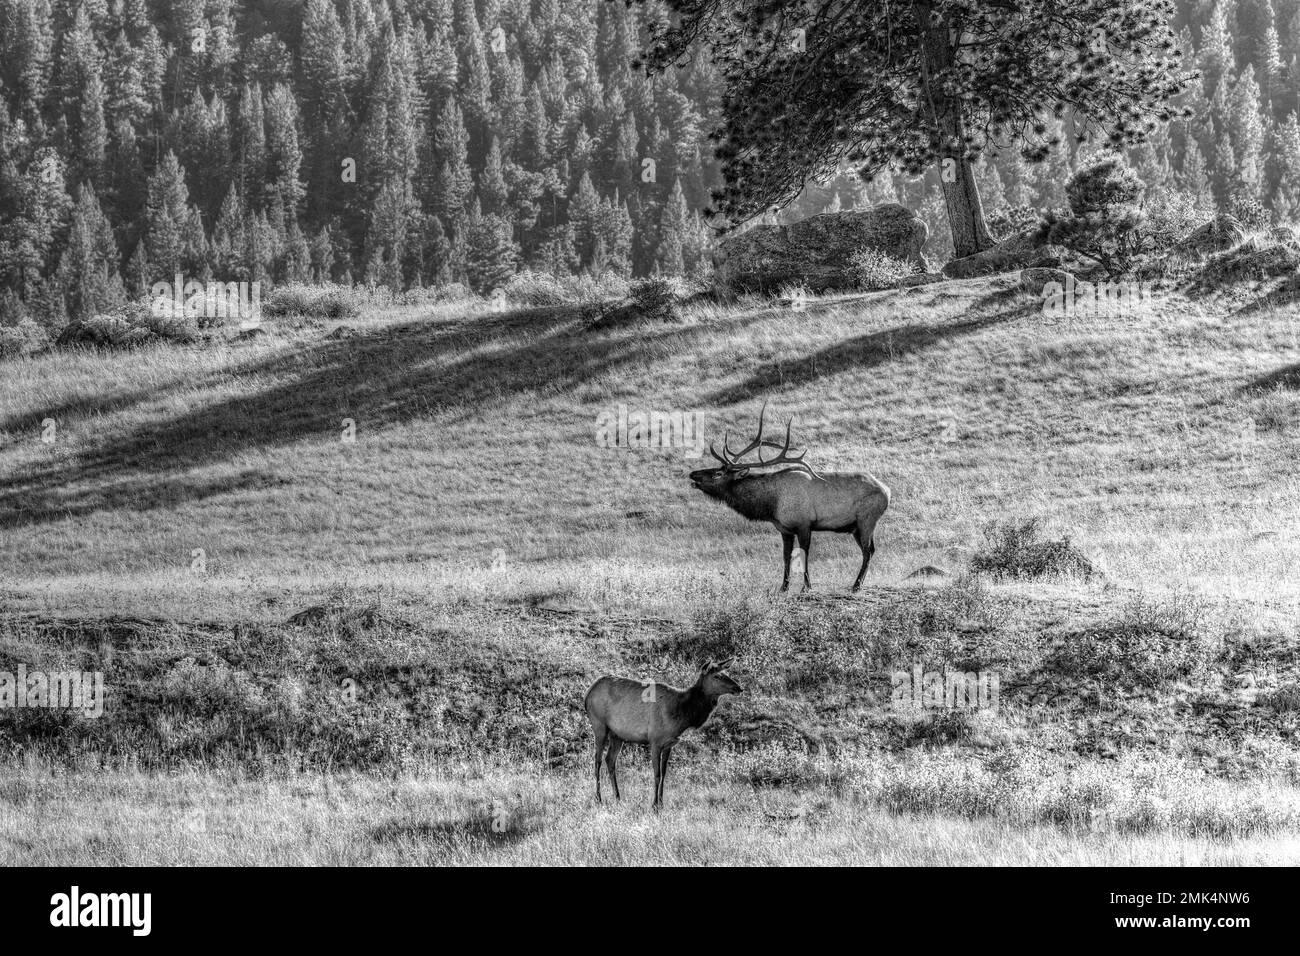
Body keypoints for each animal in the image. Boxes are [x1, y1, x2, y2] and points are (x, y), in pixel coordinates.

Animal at [584, 658, 742, 811]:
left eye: (726, 673)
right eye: (717, 676)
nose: (739, 688)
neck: (682, 715)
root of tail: (588, 693)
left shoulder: (669, 744)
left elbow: (664, 774)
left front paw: (661, 803)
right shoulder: (655, 741)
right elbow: (657, 774)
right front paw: (654, 806)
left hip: (617, 735)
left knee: (610, 759)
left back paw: (617, 797)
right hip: (599, 725)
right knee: (597, 760)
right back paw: (598, 798)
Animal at [688, 405, 890, 592]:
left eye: (718, 473)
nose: (692, 474)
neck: (771, 505)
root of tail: (887, 491)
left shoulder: (804, 523)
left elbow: (804, 554)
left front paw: (806, 587)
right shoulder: (784, 529)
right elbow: (786, 557)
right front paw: (783, 587)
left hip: (866, 519)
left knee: (868, 551)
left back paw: (856, 585)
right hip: (856, 527)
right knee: (870, 550)